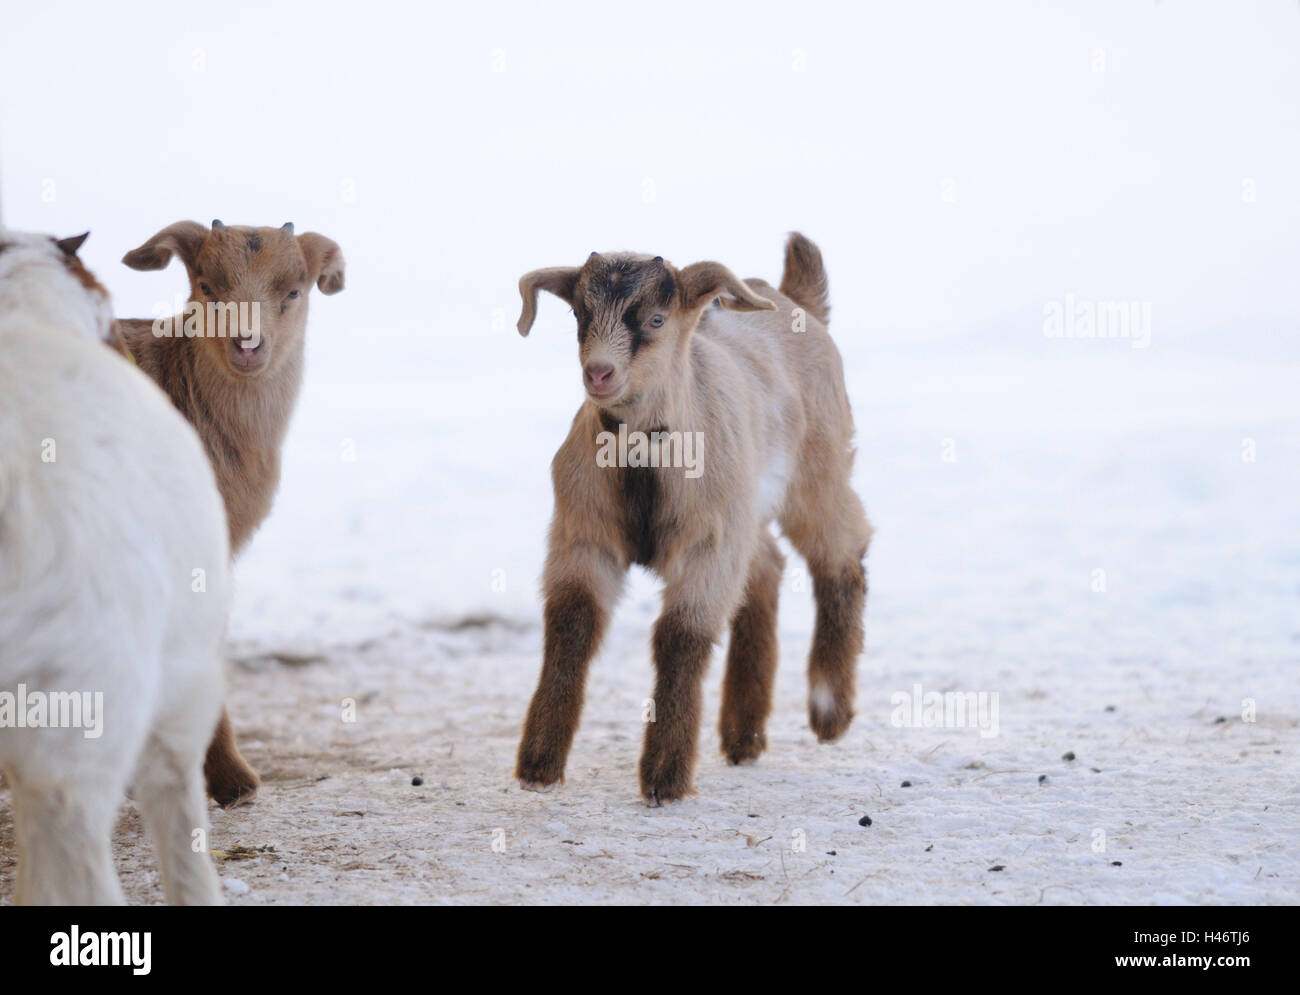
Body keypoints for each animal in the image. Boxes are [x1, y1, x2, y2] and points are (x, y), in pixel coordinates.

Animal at [514, 233, 872, 805]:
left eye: (657, 319)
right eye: (578, 313)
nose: (599, 373)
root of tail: (800, 302)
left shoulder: (708, 541)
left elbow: (681, 635)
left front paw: (665, 777)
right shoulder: (583, 533)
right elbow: (571, 625)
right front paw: (539, 765)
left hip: (819, 469)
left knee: (843, 549)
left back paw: (828, 712)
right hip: (747, 507)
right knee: (766, 569)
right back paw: (743, 735)